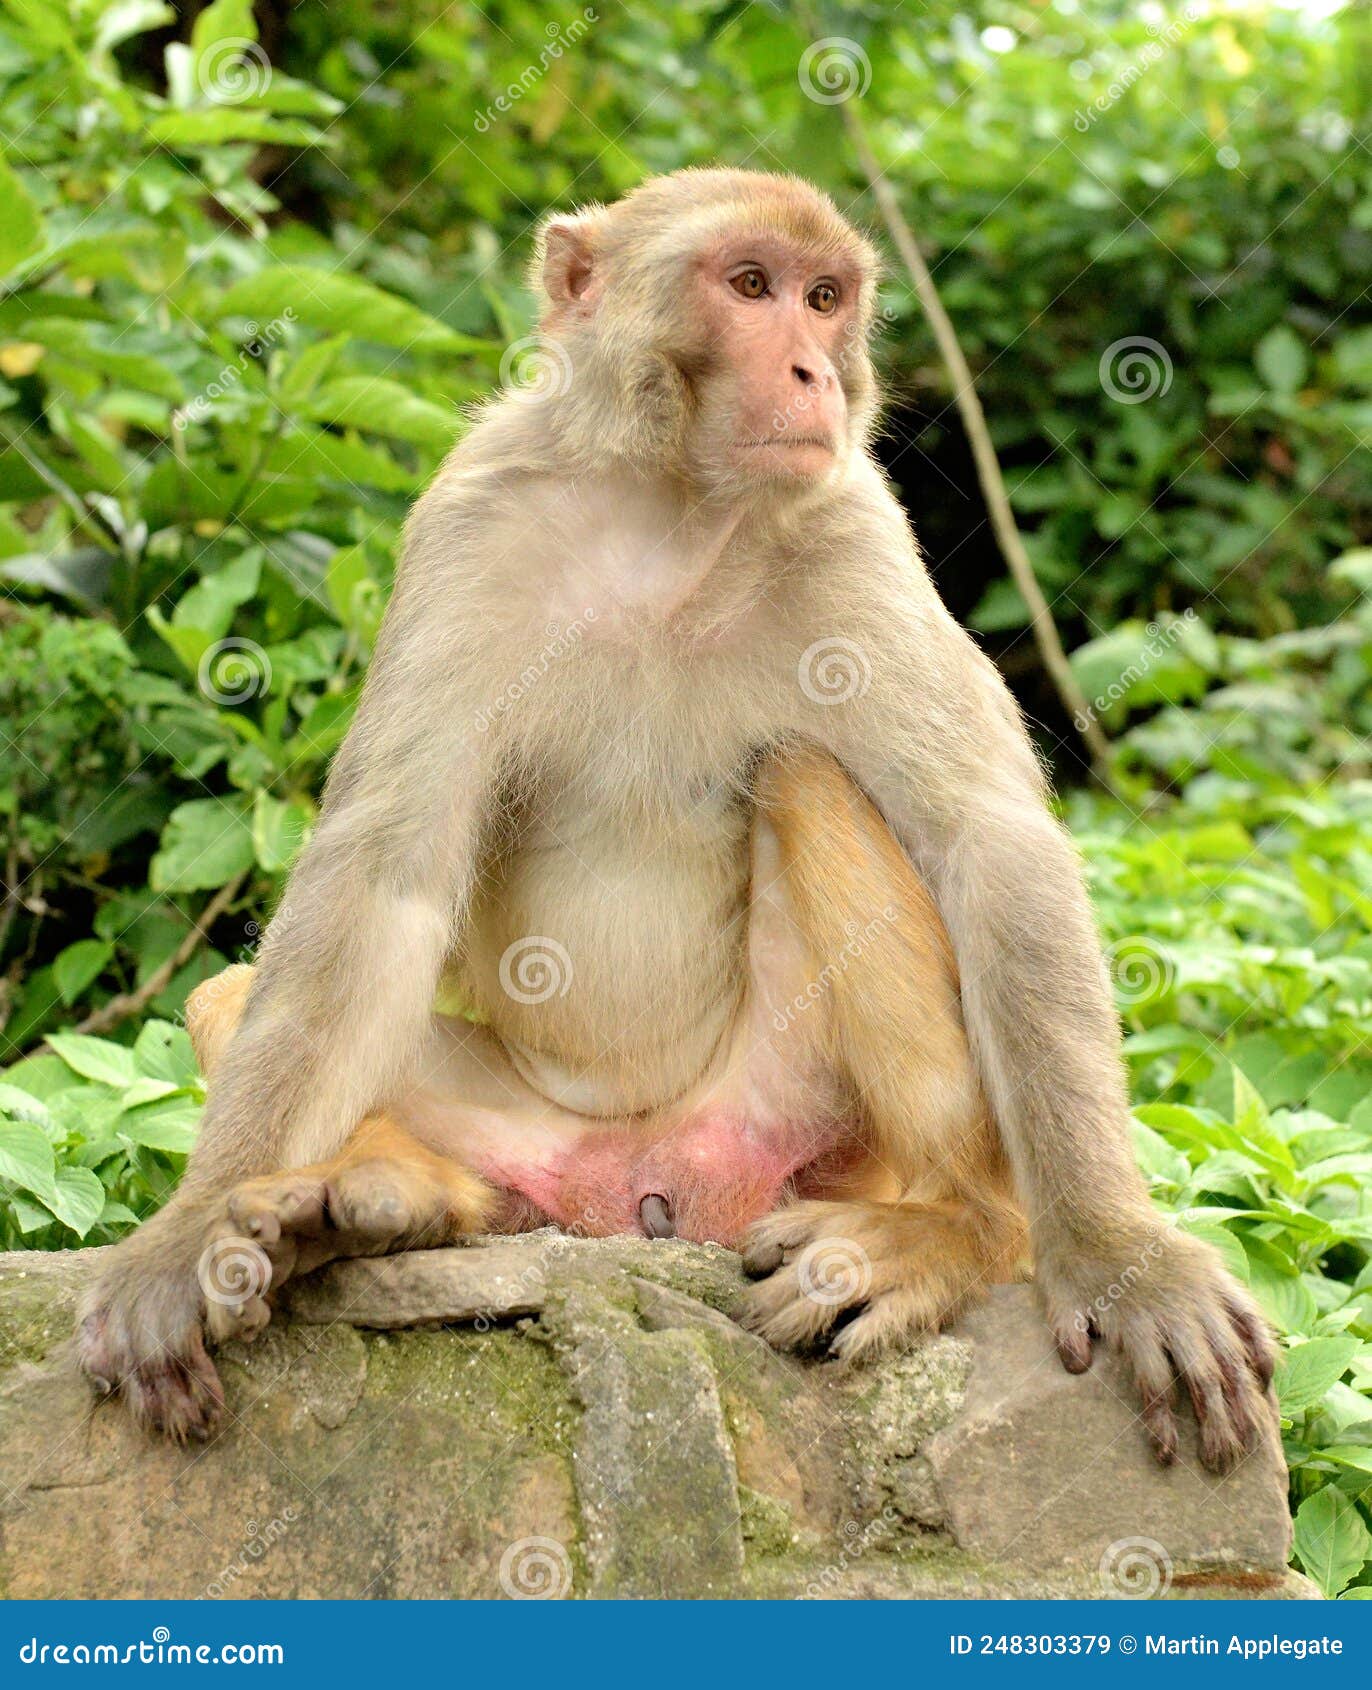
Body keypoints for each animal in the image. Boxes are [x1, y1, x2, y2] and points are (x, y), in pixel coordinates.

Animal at [78, 168, 1274, 1472]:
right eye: (748, 286)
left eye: (822, 298)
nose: (810, 369)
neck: (671, 516)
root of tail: (653, 1192)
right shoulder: (466, 522)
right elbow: (382, 879)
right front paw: (189, 1233)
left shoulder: (857, 529)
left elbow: (985, 841)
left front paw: (1117, 1256)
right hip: (552, 1159)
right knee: (229, 1000)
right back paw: (373, 1205)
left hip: (808, 1130)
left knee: (803, 775)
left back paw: (952, 1231)